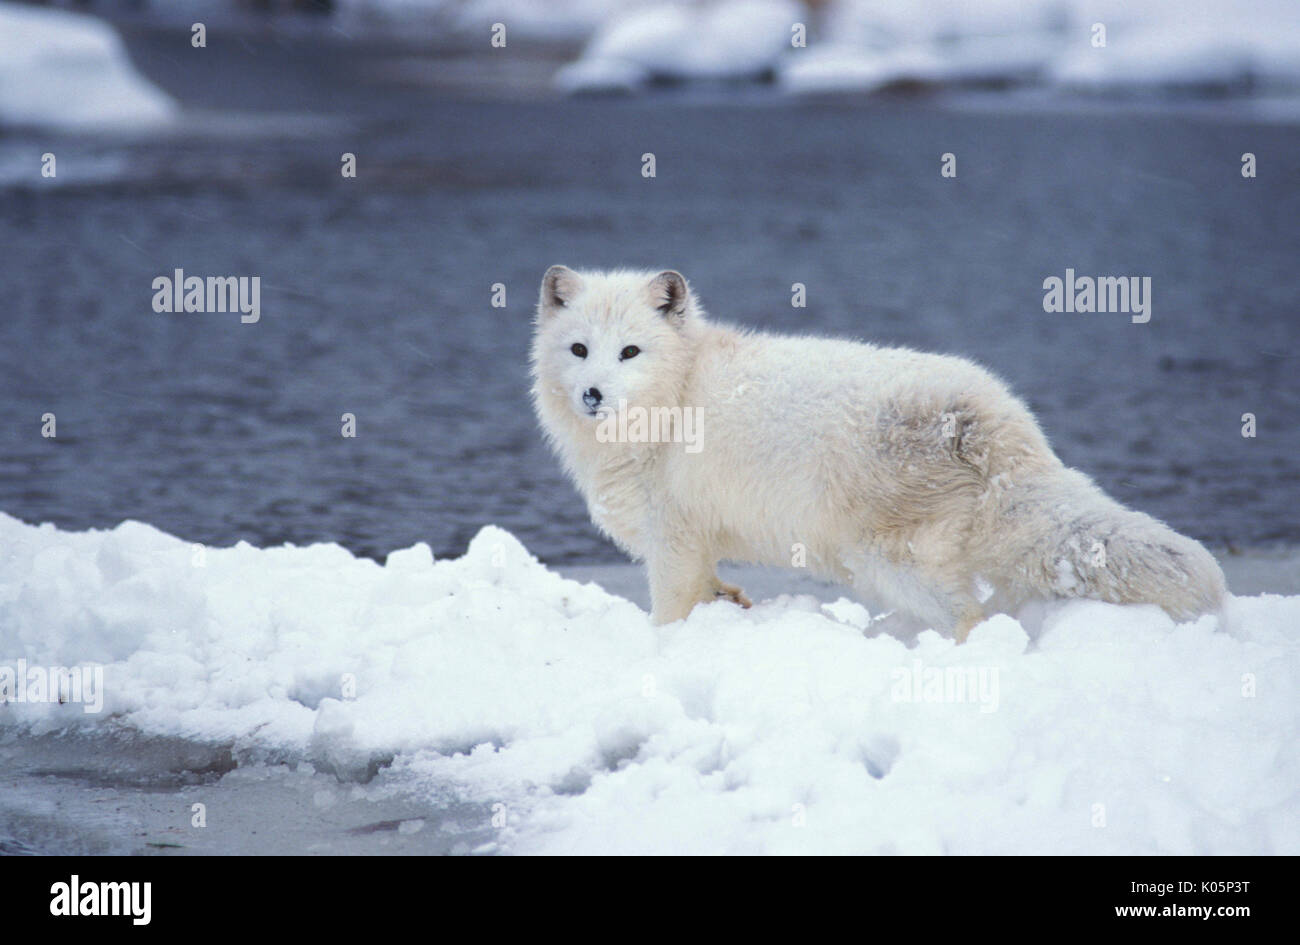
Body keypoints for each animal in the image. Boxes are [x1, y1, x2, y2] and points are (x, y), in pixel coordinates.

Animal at [530, 265, 1227, 640]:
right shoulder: (697, 543)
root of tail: (988, 417)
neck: (677, 397)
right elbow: (711, 590)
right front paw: (732, 604)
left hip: (887, 561)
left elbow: (670, 612)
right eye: (579, 350)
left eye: (630, 353)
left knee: (970, 615)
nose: (593, 394)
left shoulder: (673, 537)